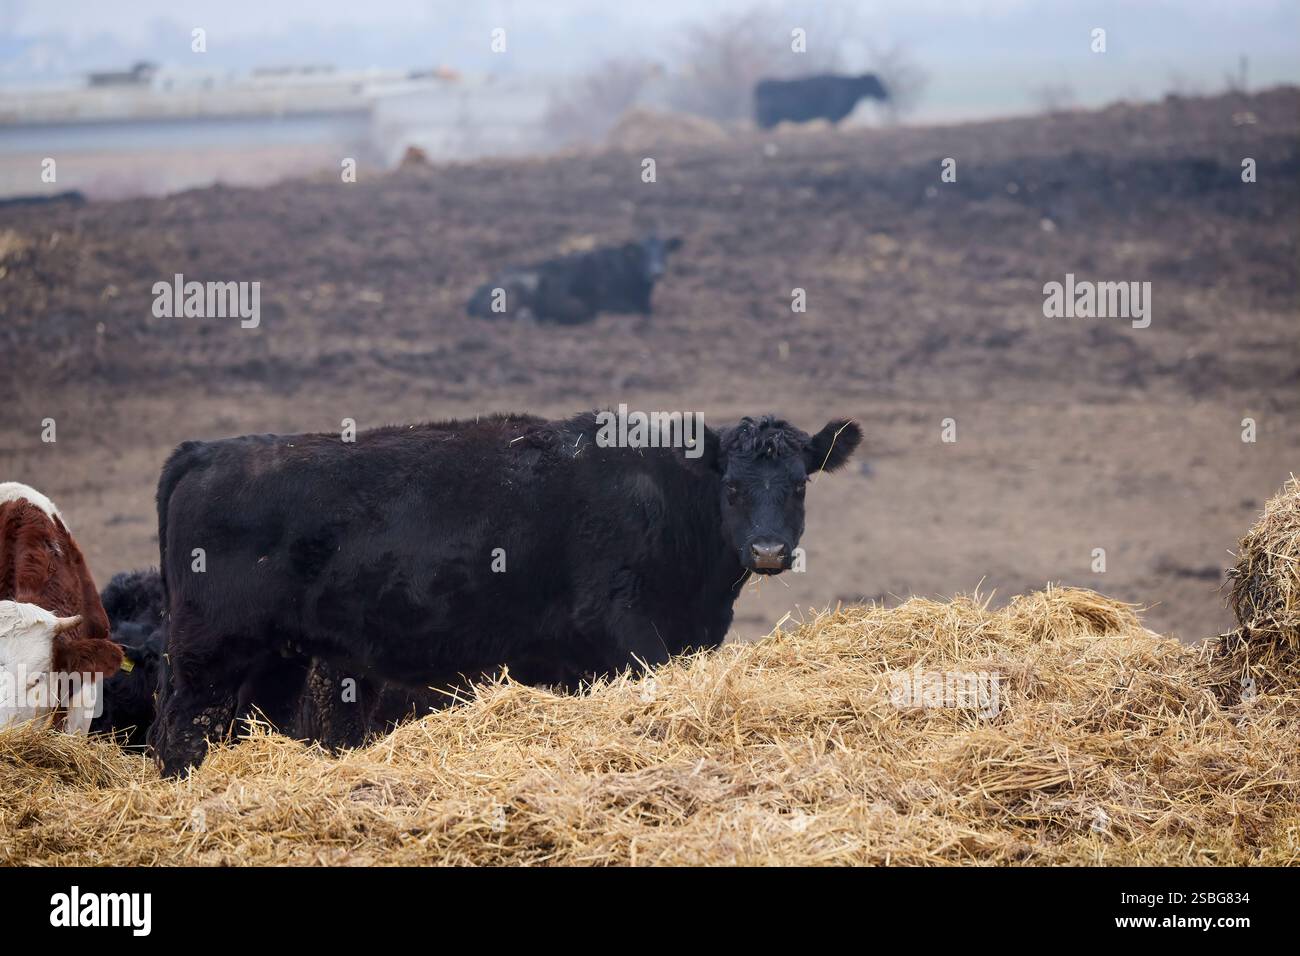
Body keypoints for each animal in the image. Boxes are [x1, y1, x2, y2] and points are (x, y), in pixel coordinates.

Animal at [147, 411, 862, 775]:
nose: (767, 551)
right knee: (182, 732)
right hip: (208, 656)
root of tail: (204, 452)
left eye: (799, 485)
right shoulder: (626, 631)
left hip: (276, 658)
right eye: (733, 487)